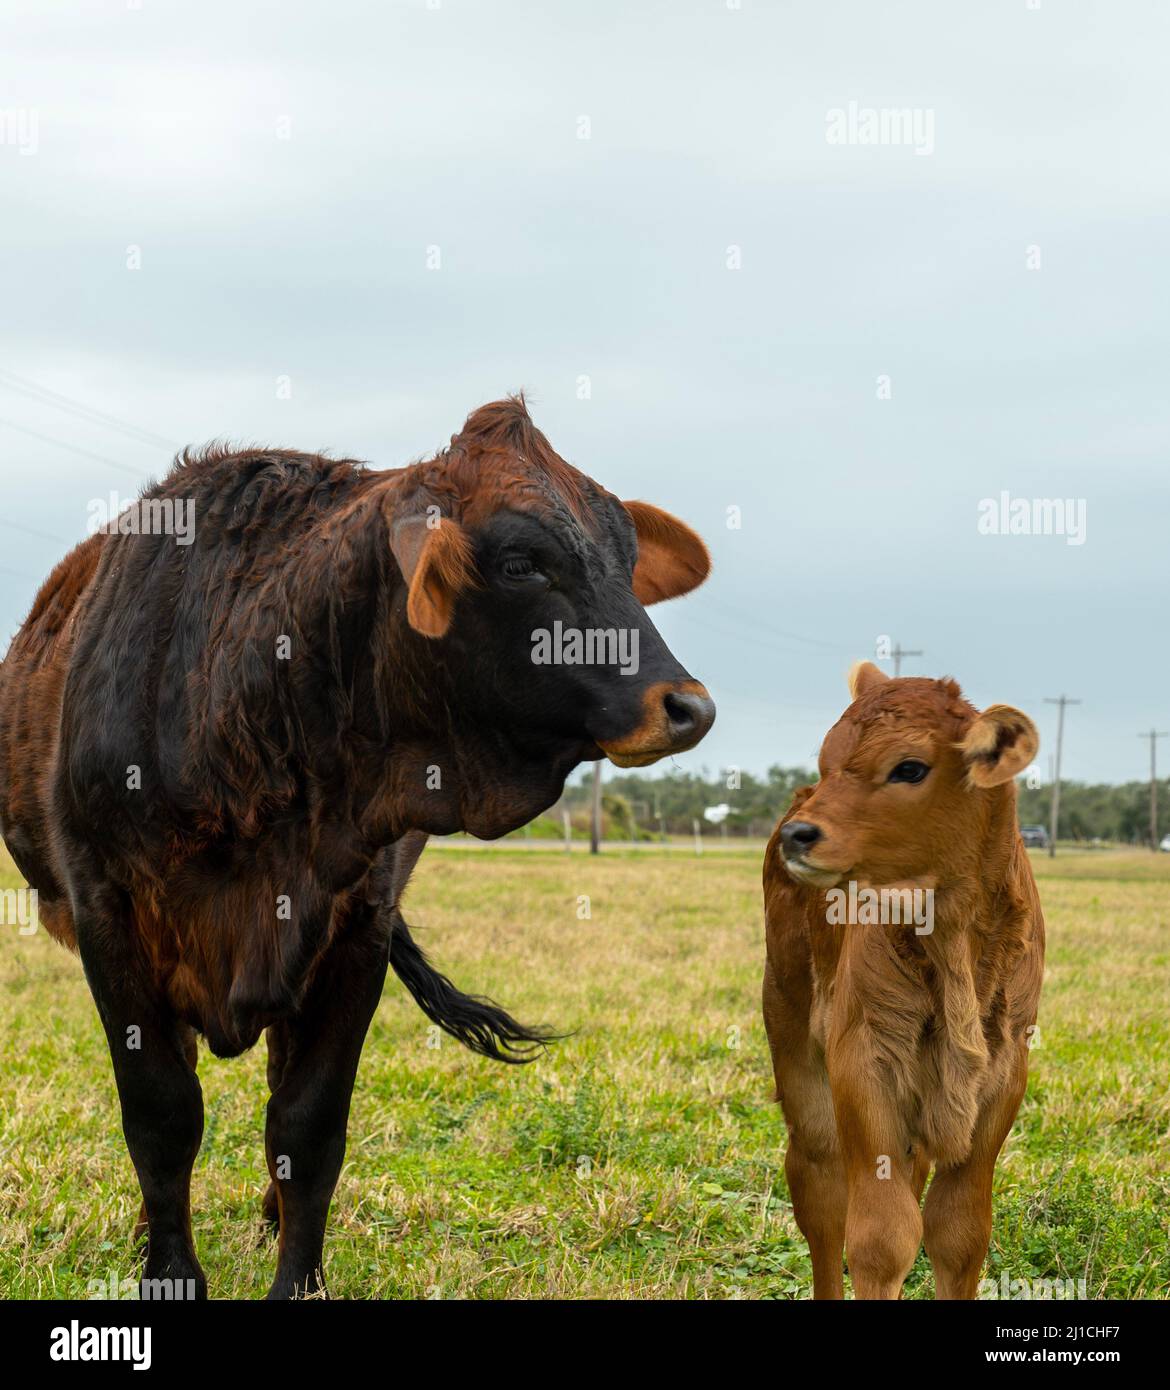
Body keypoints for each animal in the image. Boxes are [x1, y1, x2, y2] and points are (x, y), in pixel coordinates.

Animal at [0, 396, 715, 1299]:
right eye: (523, 562)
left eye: (625, 557)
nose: (687, 706)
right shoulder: (109, 920)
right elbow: (162, 1114)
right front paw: (170, 1270)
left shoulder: (355, 931)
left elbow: (307, 1127)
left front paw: (296, 1275)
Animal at [762, 661, 1044, 1300]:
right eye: (827, 759)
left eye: (909, 767)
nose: (799, 835)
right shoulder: (862, 1061)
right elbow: (881, 1238)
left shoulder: (1005, 1071)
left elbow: (959, 1232)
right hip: (794, 1045)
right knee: (820, 1194)